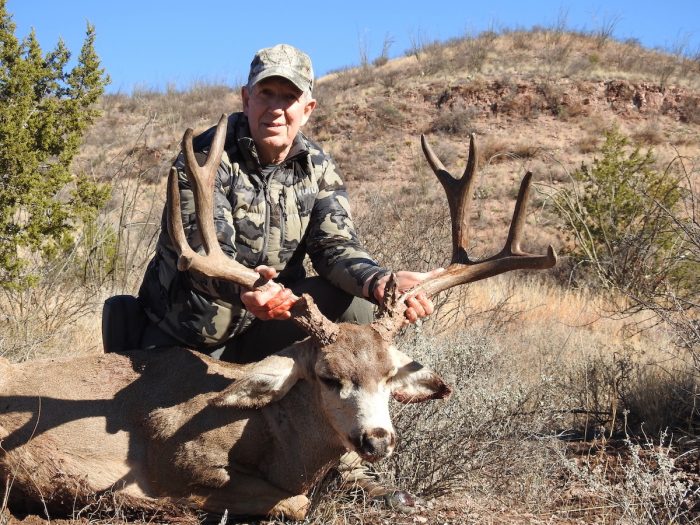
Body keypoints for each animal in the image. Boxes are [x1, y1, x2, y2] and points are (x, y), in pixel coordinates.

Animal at [0, 115, 556, 521]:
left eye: (389, 375)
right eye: (328, 377)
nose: (378, 440)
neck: (270, 436)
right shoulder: (172, 454)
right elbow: (294, 501)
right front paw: (157, 504)